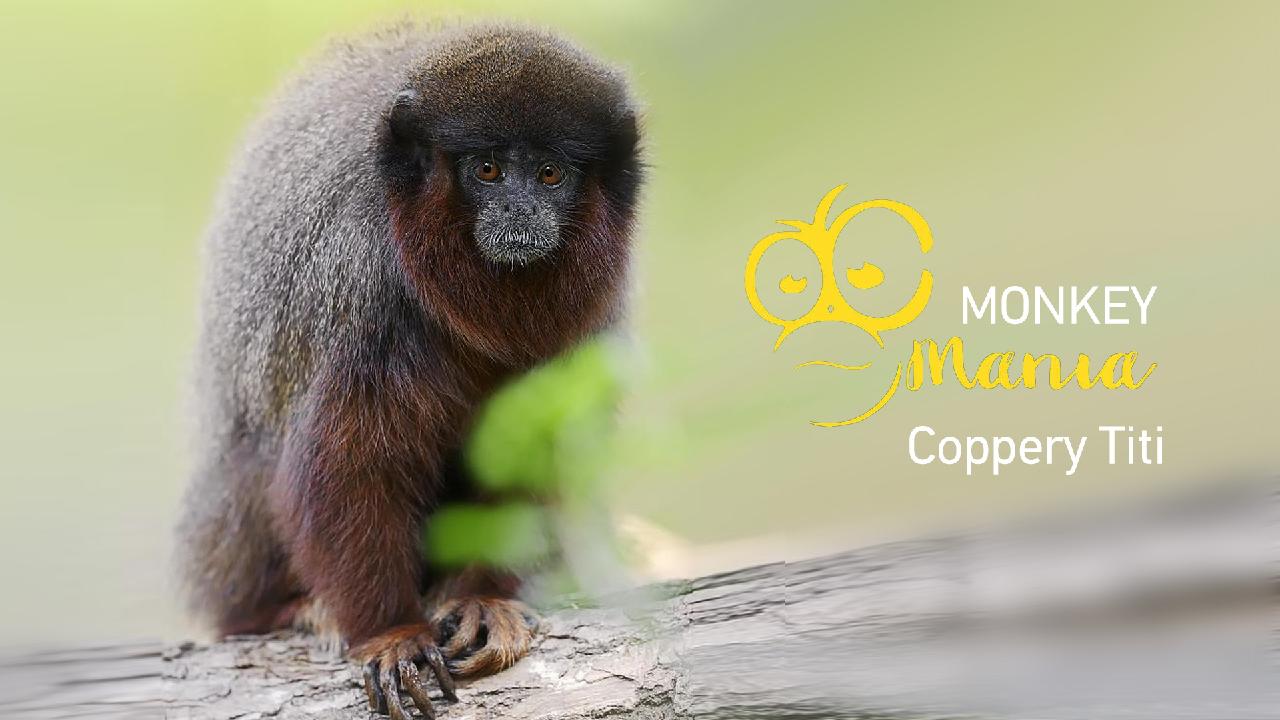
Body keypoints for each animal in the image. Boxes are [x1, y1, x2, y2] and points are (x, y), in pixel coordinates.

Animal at [175, 22, 642, 719]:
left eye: (549, 173)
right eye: (488, 170)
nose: (520, 210)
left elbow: (534, 446)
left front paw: (485, 599)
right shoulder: (363, 281)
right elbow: (348, 464)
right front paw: (391, 633)